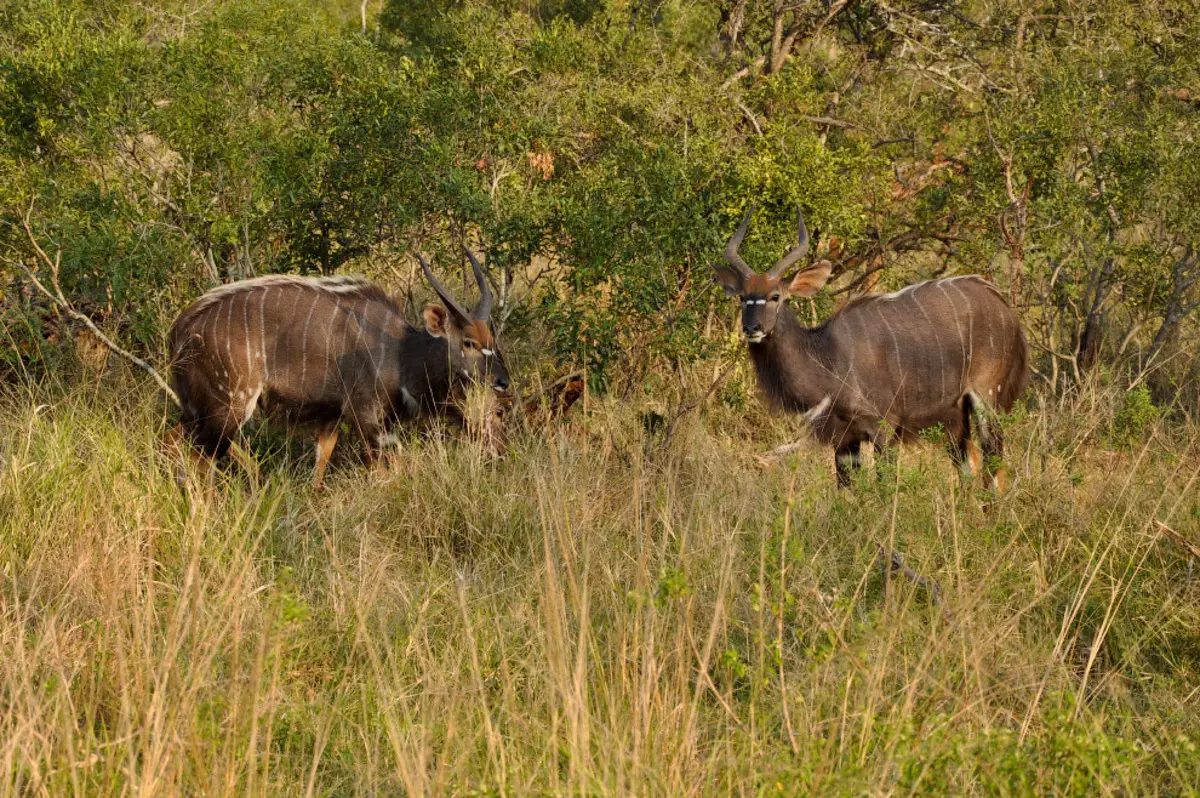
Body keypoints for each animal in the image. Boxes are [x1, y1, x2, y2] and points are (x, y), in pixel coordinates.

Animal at [168, 249, 506, 484]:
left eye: (491, 336)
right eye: (468, 342)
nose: (503, 381)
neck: (401, 353)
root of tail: (180, 331)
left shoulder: (334, 417)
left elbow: (322, 461)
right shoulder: (364, 415)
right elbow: (383, 474)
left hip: (197, 409)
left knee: (179, 442)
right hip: (231, 403)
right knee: (201, 456)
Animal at [710, 208, 1032, 489]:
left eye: (776, 296)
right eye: (743, 297)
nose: (752, 328)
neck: (828, 357)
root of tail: (1005, 308)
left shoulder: (883, 428)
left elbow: (884, 486)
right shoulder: (843, 439)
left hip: (987, 399)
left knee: (994, 463)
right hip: (954, 416)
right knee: (968, 463)